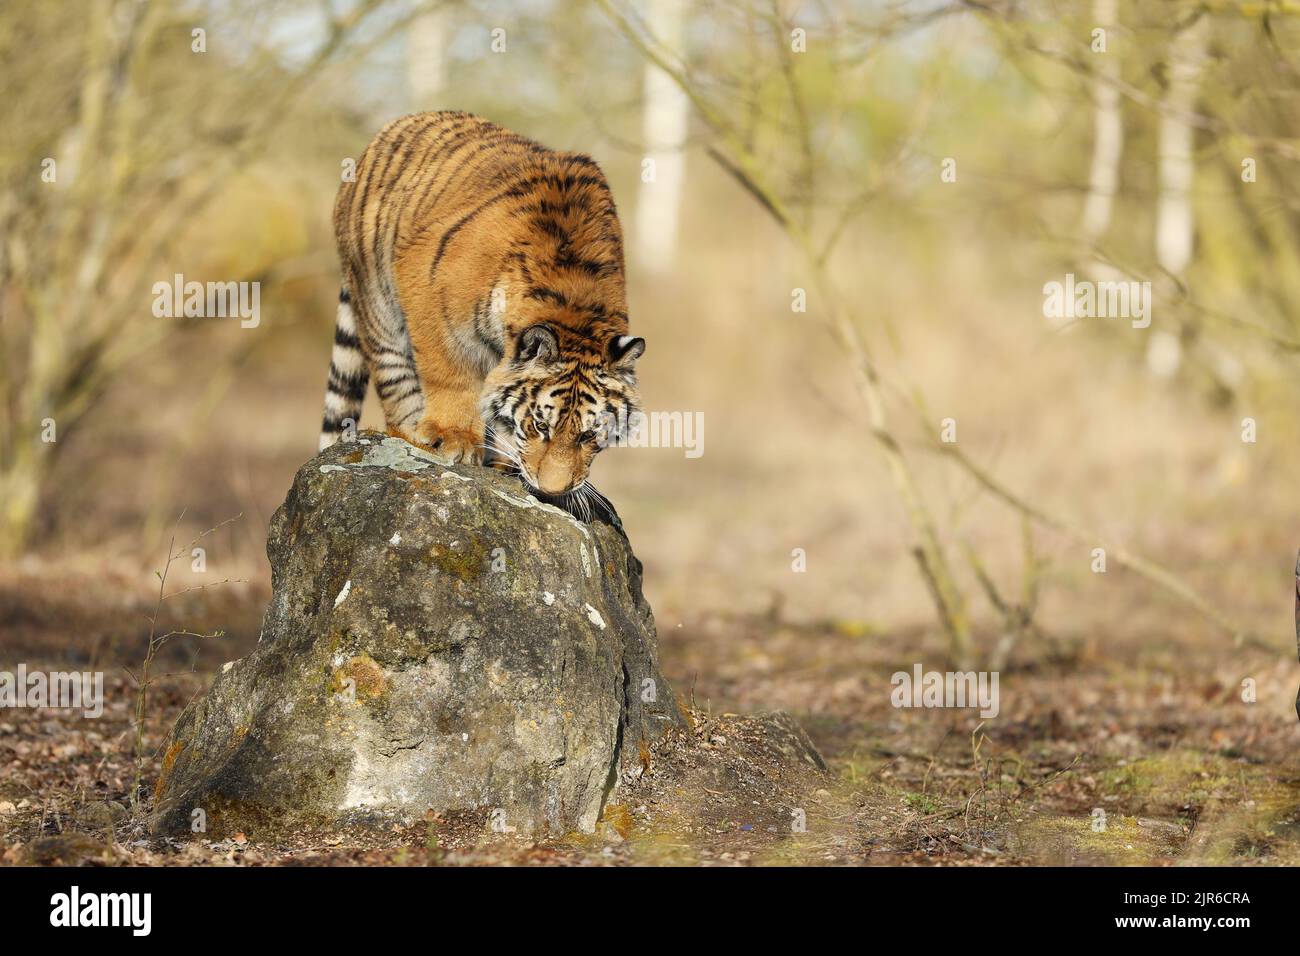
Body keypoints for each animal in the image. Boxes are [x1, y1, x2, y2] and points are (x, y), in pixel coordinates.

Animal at [320, 111, 645, 510]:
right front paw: (456, 437)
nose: (551, 490)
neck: (577, 307)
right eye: (541, 426)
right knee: (394, 377)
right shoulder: (428, 289)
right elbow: (449, 373)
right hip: (377, 298)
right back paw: (412, 433)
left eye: (588, 435)